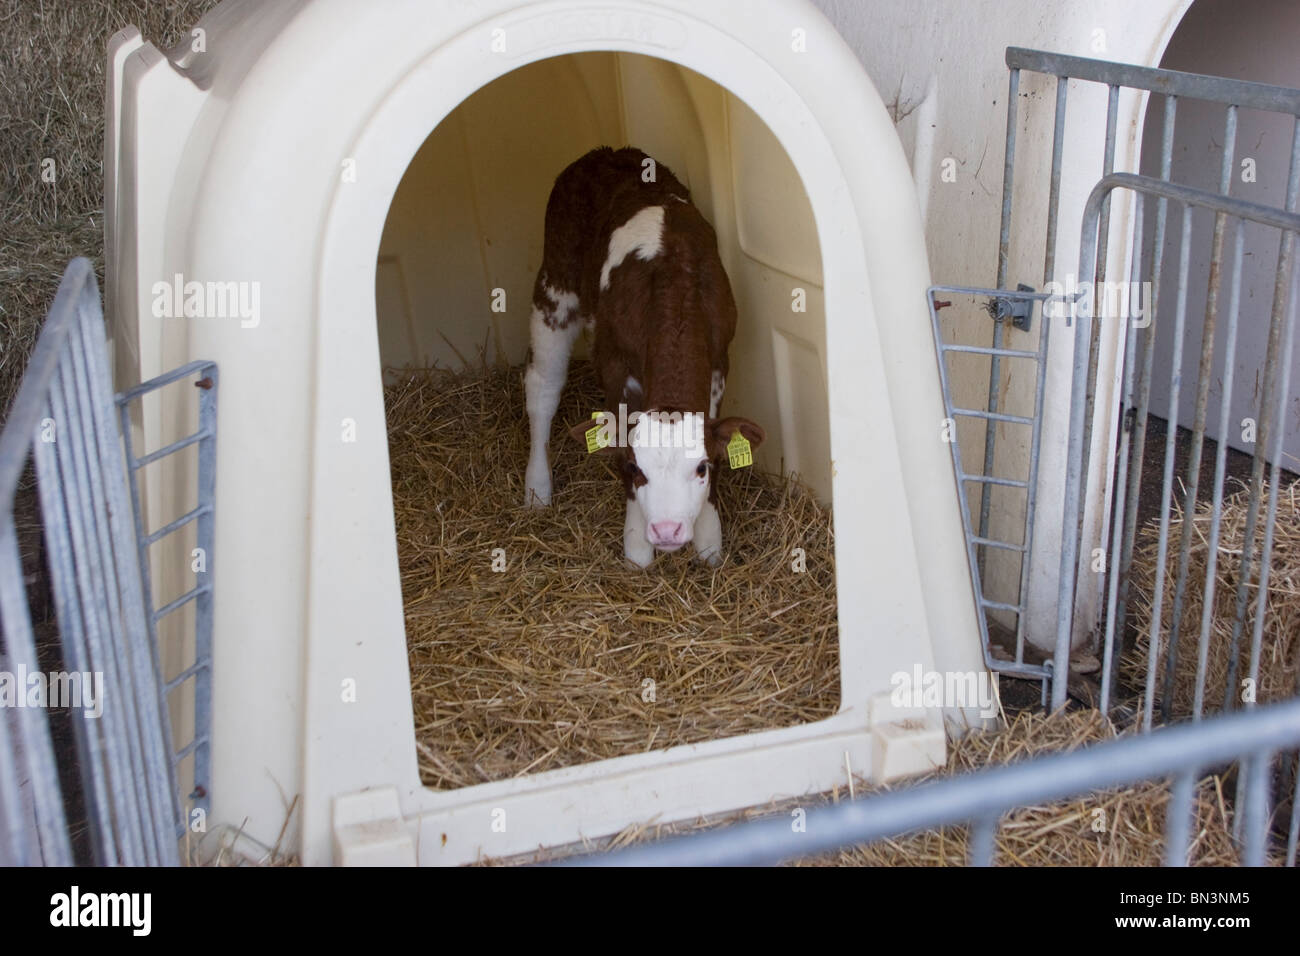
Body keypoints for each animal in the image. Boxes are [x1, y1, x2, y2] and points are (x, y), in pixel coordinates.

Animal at [523, 146, 765, 568]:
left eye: (700, 467)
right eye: (638, 468)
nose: (667, 531)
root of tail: (603, 152)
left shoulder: (720, 360)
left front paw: (709, 541)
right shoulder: (614, 363)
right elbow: (619, 437)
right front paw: (636, 548)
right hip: (555, 285)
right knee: (543, 388)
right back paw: (537, 487)